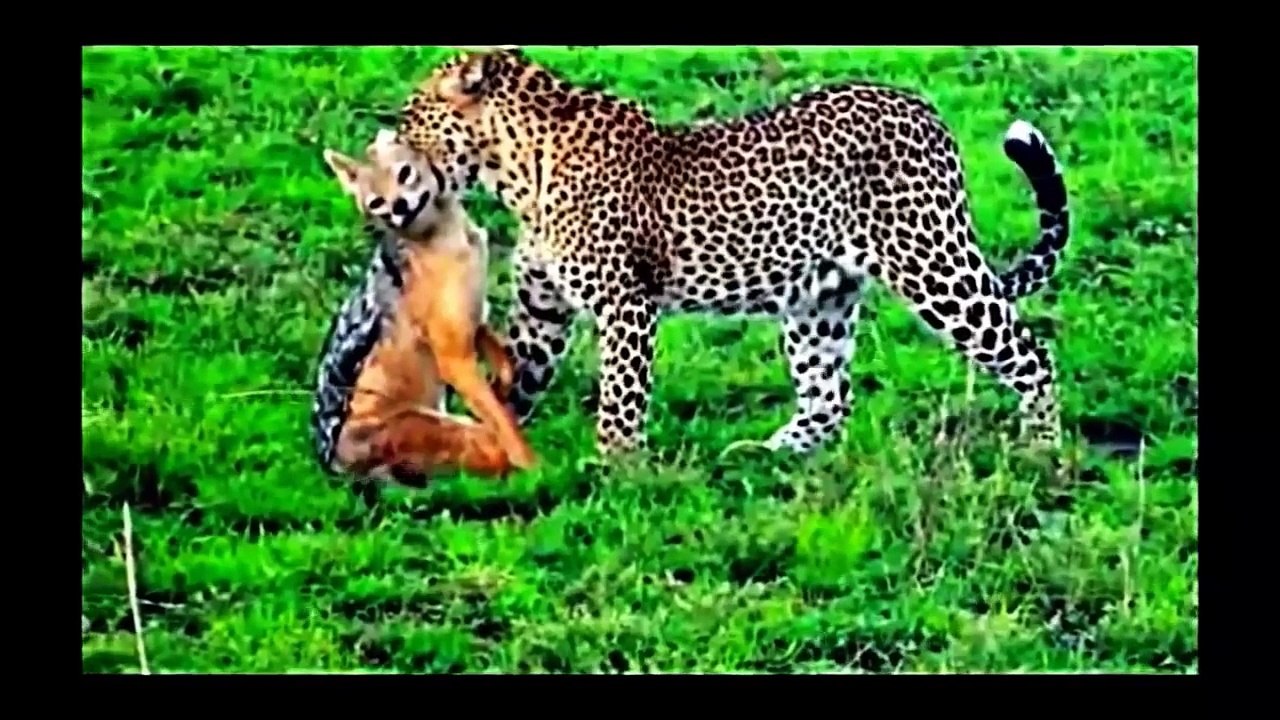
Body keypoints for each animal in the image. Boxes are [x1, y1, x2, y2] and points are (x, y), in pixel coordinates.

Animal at [392, 48, 1073, 460]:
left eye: (411, 114)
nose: (393, 138)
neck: (515, 173)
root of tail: (924, 110)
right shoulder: (543, 309)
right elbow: (515, 379)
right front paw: (488, 446)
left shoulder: (626, 303)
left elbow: (620, 398)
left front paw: (617, 471)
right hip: (819, 299)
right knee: (828, 396)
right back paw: (767, 459)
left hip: (931, 262)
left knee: (1030, 352)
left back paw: (1044, 450)